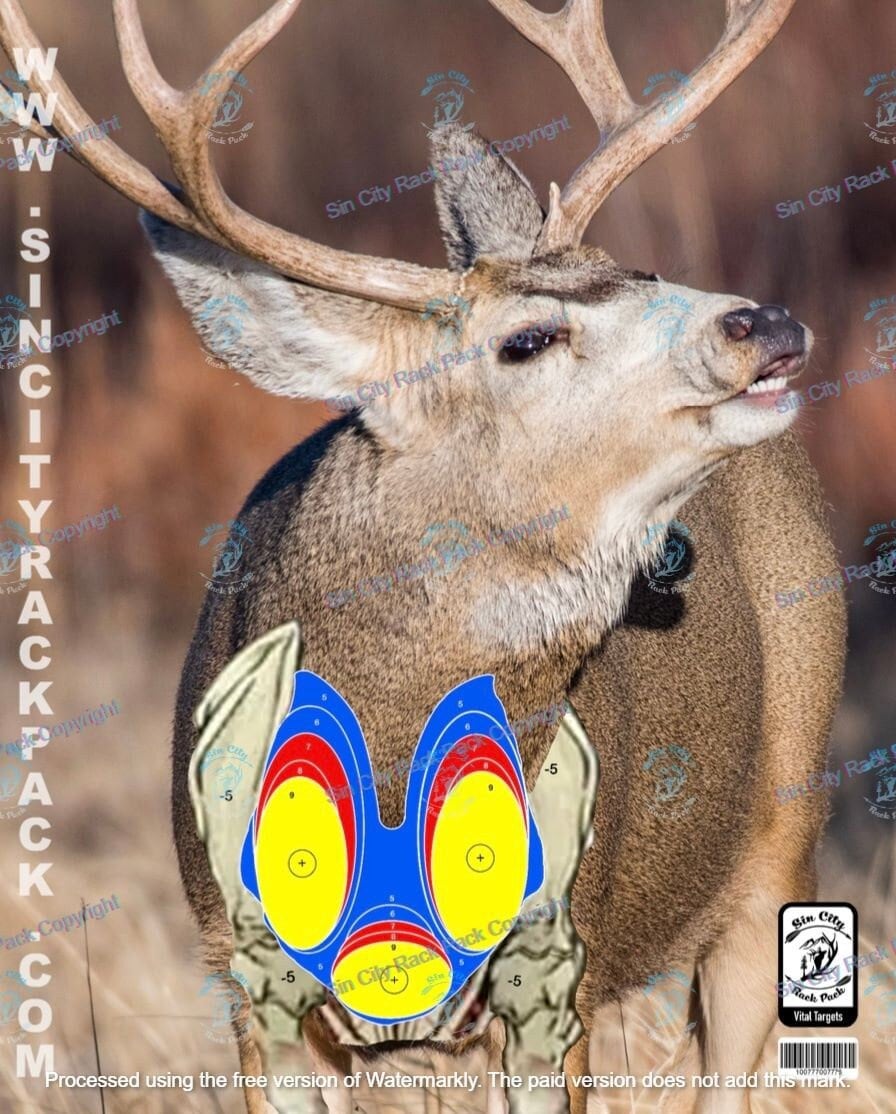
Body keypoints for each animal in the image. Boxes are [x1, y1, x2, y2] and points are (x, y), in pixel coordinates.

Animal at [0, 1, 846, 1113]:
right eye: (525, 339)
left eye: (646, 275)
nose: (762, 321)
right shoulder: (244, 976)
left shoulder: (560, 964)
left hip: (784, 824)